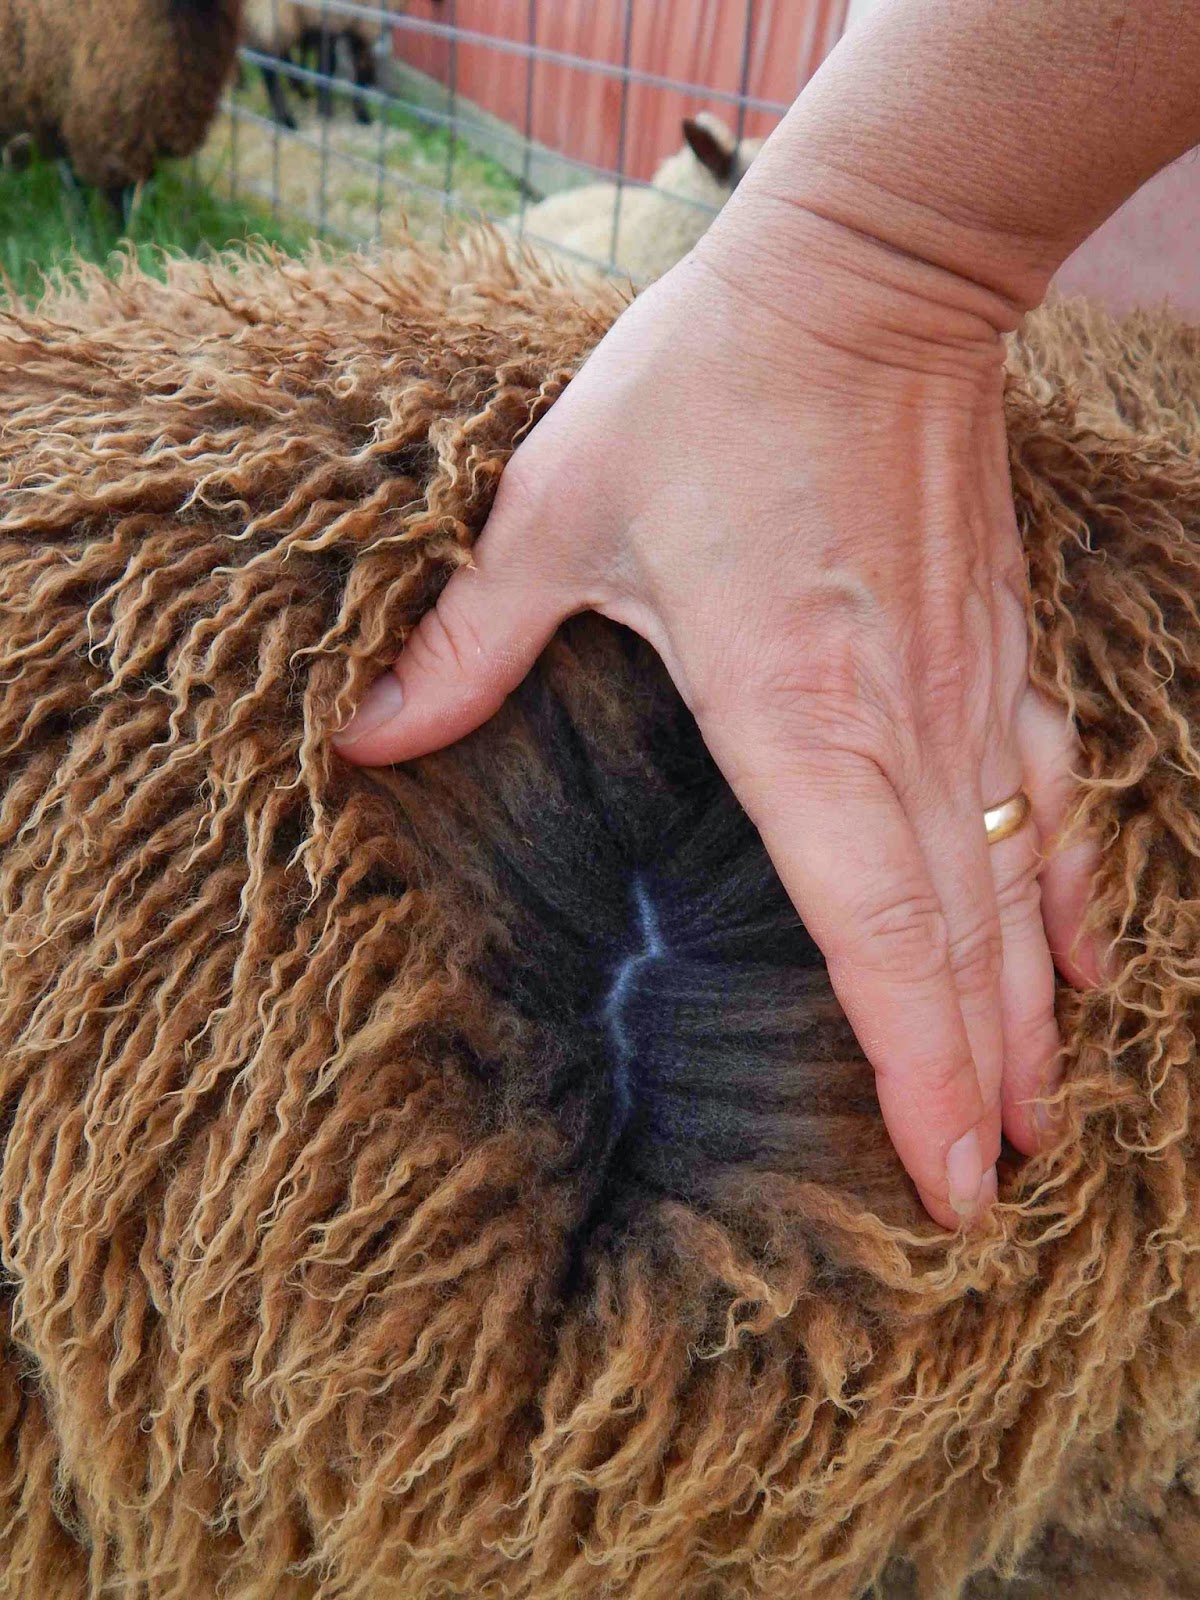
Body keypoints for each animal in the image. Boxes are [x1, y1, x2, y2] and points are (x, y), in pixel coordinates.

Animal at [242, 0, 386, 129]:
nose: (373, 82)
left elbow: (312, 64)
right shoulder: (328, 28)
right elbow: (326, 68)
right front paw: (326, 110)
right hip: (277, 20)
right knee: (269, 69)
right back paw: (287, 120)